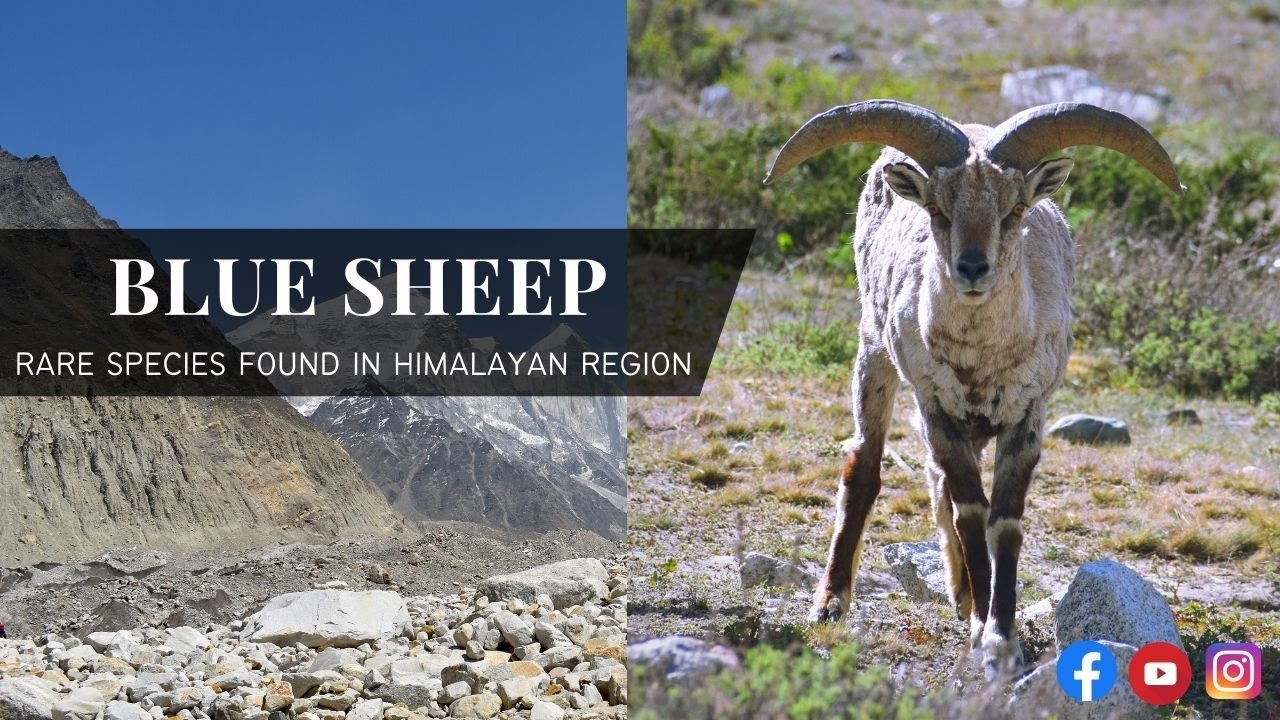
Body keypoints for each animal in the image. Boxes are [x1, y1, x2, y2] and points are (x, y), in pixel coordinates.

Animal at [763, 100, 1183, 678]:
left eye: (1016, 208)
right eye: (937, 208)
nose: (972, 268)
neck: (980, 361)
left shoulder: (1027, 414)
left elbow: (1002, 521)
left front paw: (1002, 640)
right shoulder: (936, 407)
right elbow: (971, 513)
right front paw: (986, 631)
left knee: (935, 484)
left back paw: (962, 595)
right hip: (875, 352)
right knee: (865, 468)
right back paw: (832, 601)